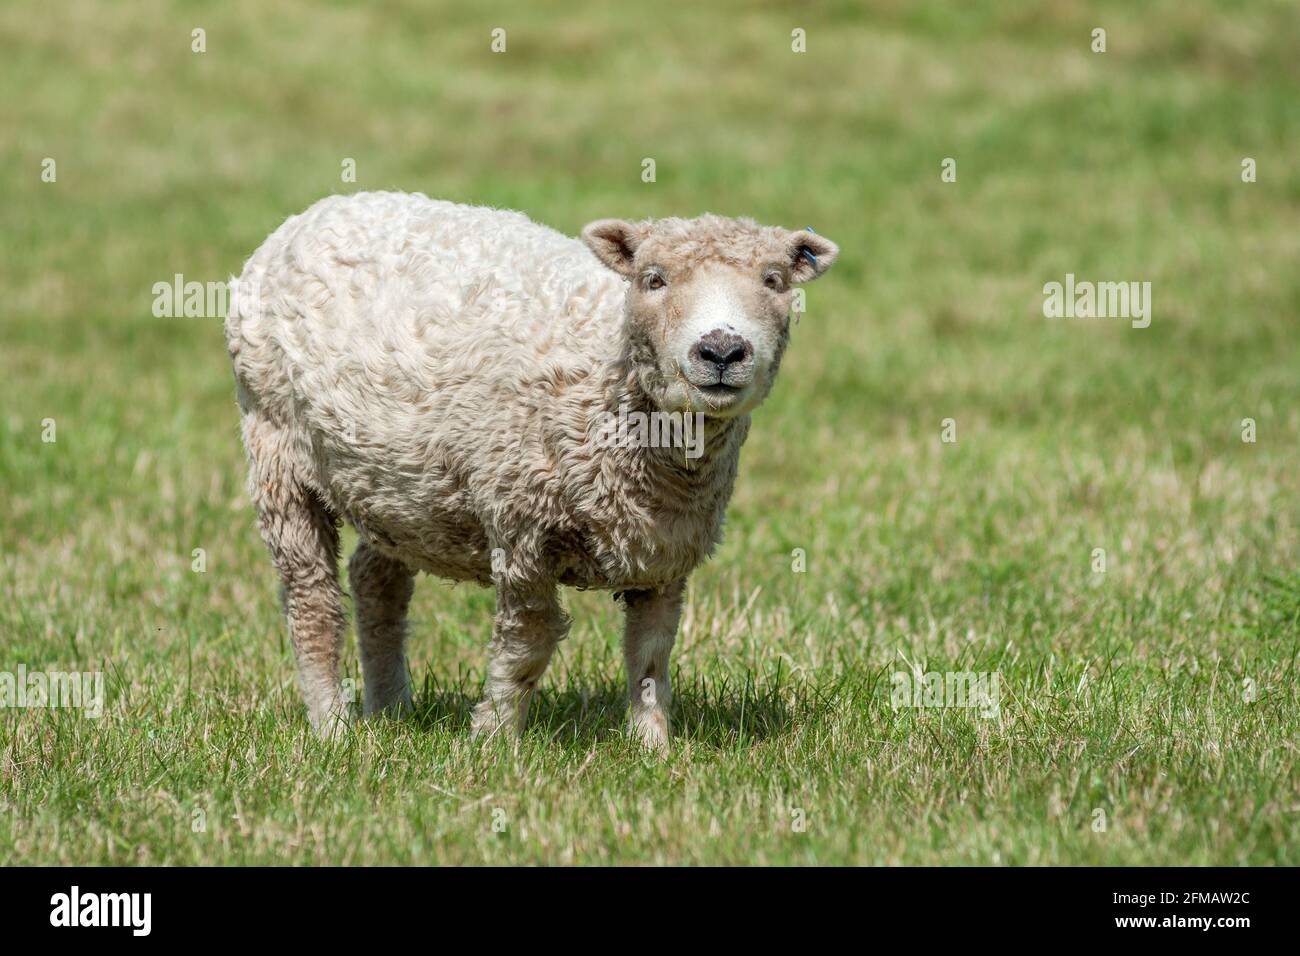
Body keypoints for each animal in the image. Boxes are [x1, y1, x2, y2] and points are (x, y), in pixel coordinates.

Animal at [224, 192, 838, 750]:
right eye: (654, 279)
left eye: (775, 281)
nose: (721, 350)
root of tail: (319, 210)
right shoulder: (522, 525)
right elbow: (529, 641)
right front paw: (492, 742)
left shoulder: (664, 552)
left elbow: (650, 654)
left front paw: (654, 749)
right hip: (276, 442)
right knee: (311, 599)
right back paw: (333, 727)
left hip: (395, 487)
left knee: (377, 581)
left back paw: (391, 708)